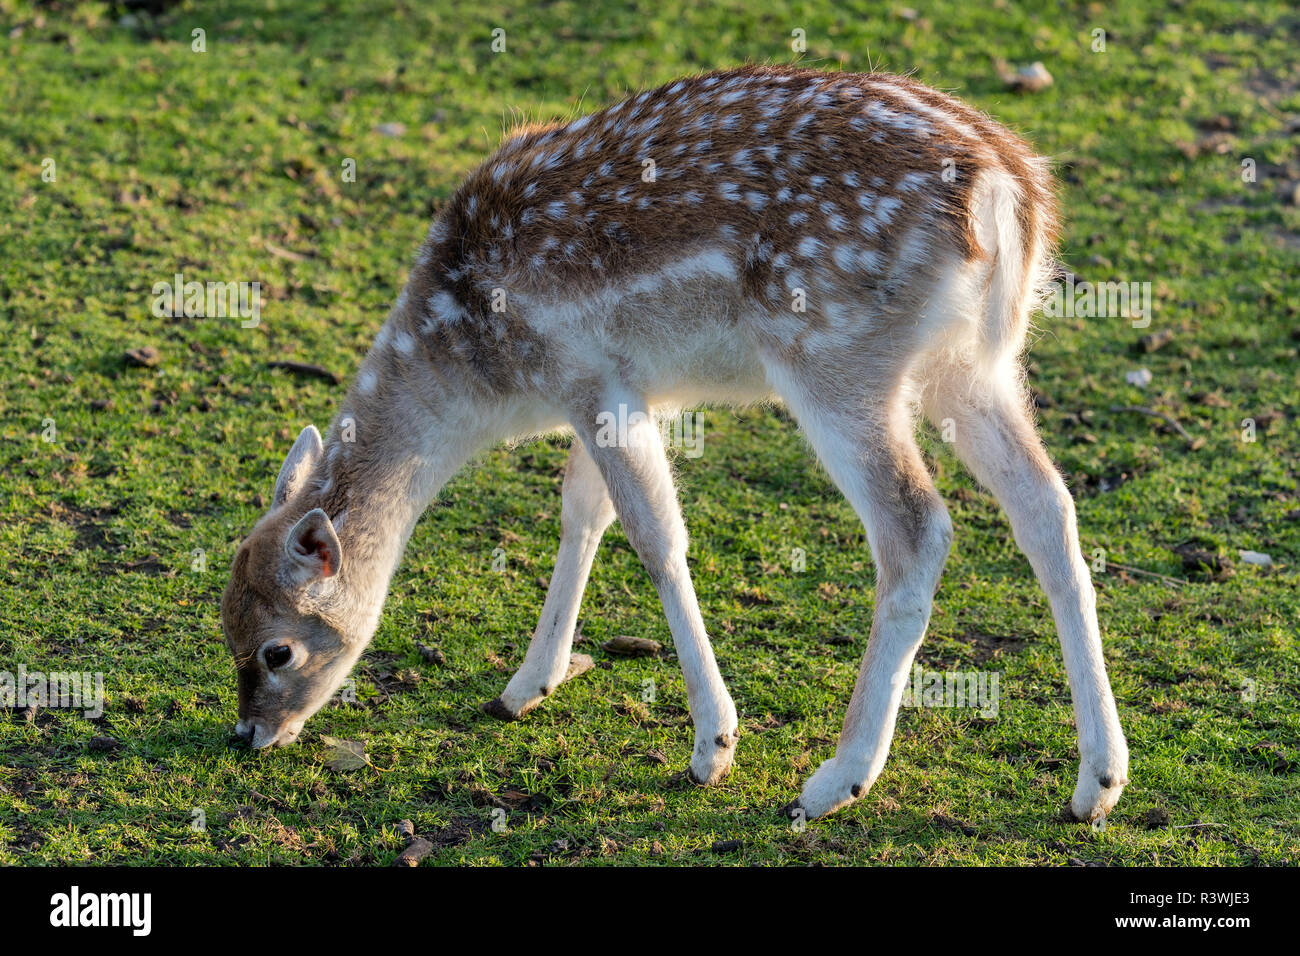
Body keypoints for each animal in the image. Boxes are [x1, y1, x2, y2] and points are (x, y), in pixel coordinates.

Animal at [221, 65, 1129, 823]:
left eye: (276, 650)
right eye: (223, 622)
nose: (247, 735)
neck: (484, 373)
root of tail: (1011, 192)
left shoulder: (588, 377)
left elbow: (655, 535)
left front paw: (712, 748)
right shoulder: (624, 386)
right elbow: (582, 510)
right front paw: (525, 687)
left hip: (836, 358)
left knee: (918, 527)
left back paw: (836, 781)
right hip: (978, 367)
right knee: (1048, 507)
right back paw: (1098, 782)